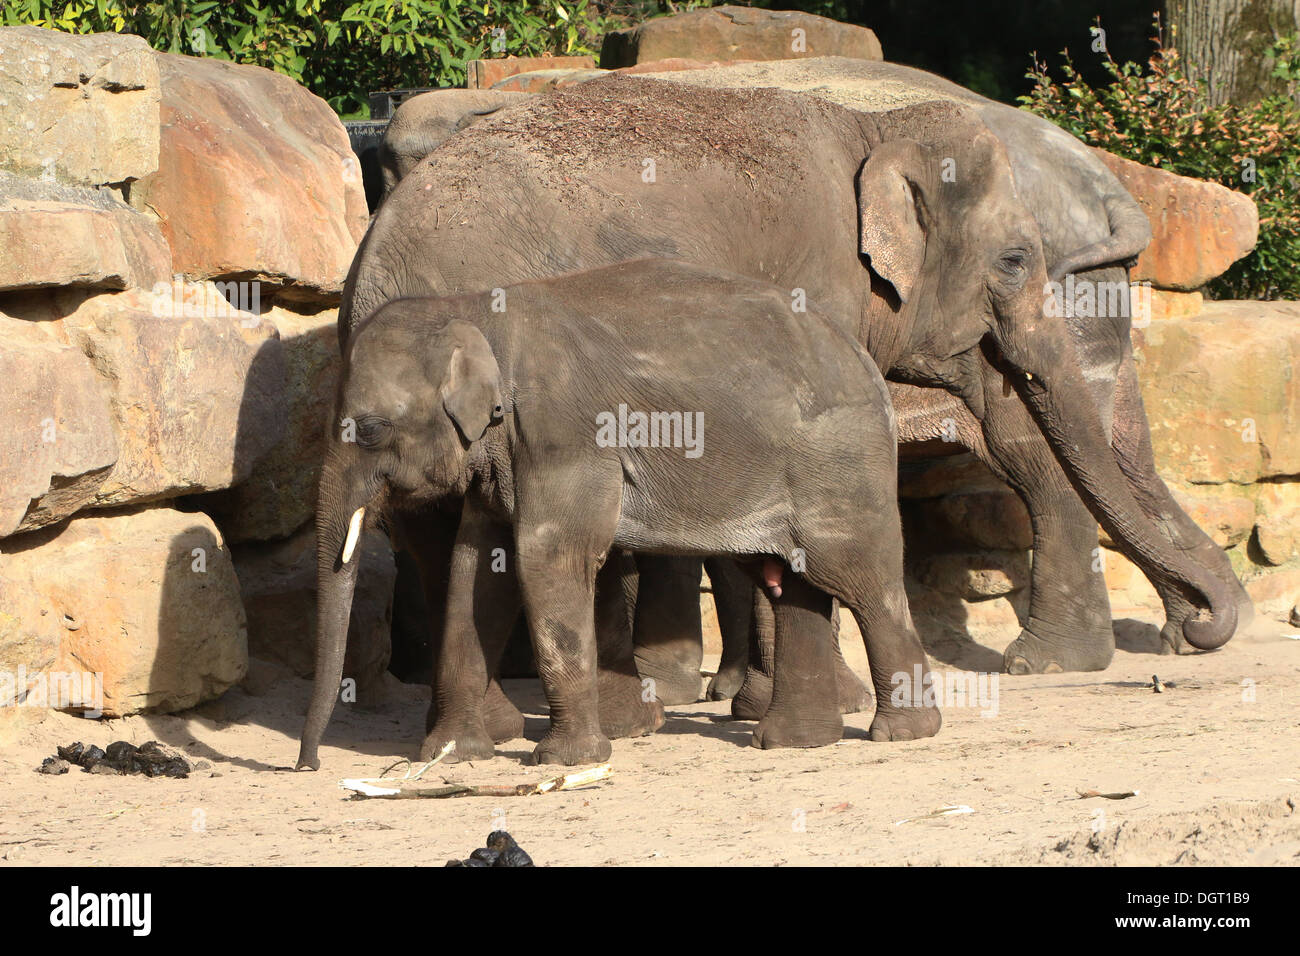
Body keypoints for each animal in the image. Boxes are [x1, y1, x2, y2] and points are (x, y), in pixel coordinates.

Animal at [296, 258, 940, 770]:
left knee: (860, 580)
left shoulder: (566, 435)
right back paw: (791, 743)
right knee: (791, 582)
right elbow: (477, 573)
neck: (473, 310)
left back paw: (902, 732)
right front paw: (449, 755)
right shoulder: (505, 457)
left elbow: (547, 561)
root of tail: (869, 363)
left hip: (840, 465)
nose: (306, 766)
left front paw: (564, 760)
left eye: (371, 430)